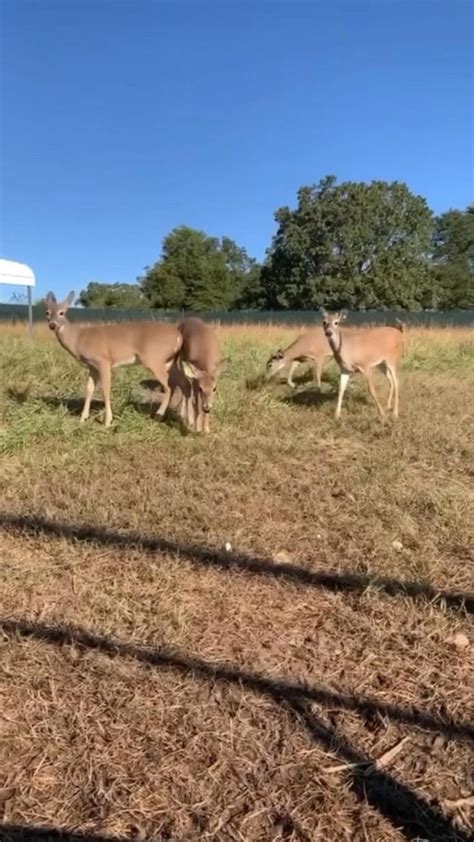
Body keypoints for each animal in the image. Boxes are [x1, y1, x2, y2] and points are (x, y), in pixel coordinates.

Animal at [44, 291, 183, 427]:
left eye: (62, 312)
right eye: (47, 312)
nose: (52, 325)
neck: (78, 338)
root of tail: (178, 336)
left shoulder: (103, 361)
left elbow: (105, 390)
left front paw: (107, 422)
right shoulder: (92, 366)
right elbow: (89, 389)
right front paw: (83, 418)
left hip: (154, 359)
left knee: (169, 387)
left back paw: (159, 415)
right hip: (168, 361)